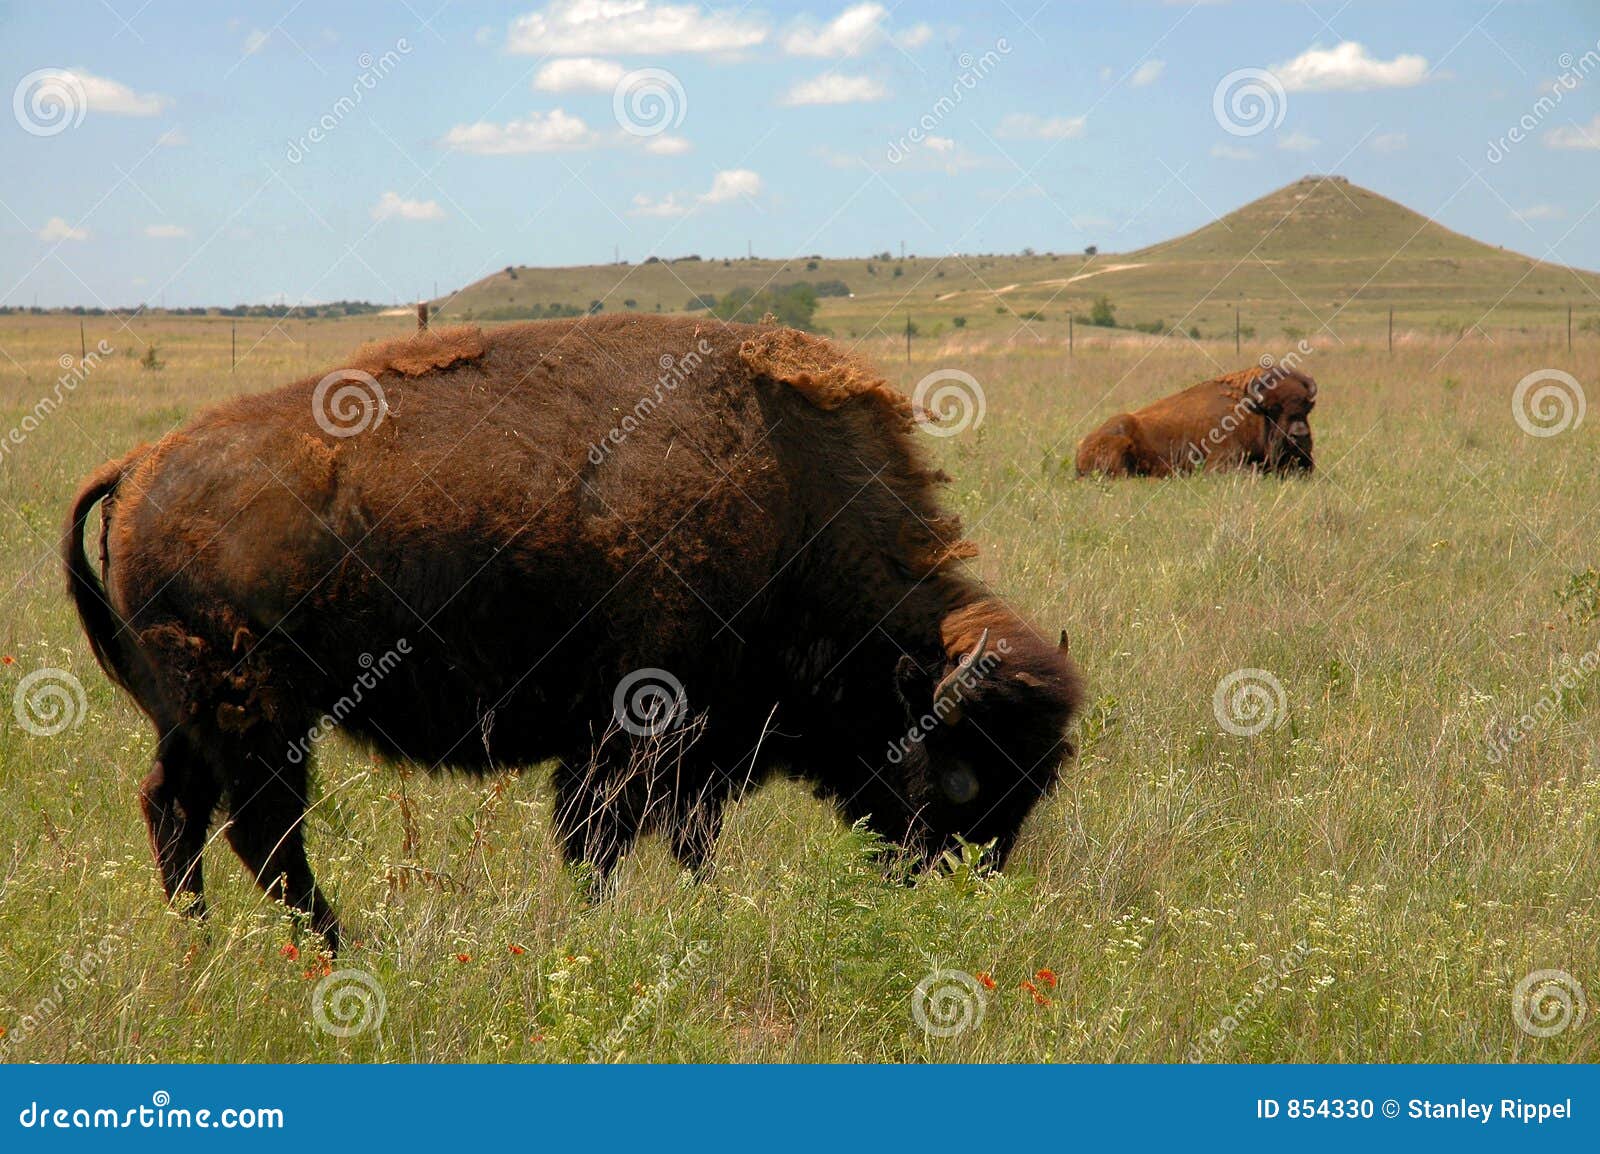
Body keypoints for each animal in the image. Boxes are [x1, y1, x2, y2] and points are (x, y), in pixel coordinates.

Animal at [64, 315, 1083, 950]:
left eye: (1034, 785)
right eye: (961, 773)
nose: (961, 892)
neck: (792, 502)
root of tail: (140, 465)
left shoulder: (696, 754)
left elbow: (680, 842)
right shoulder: (637, 733)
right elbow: (605, 840)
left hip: (194, 722)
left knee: (176, 811)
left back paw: (200, 945)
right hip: (260, 719)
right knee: (264, 834)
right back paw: (337, 948)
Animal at [1075, 363, 1317, 478]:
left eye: (1307, 407)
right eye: (1275, 409)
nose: (1300, 436)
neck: (1252, 411)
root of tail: (1082, 446)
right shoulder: (1219, 463)